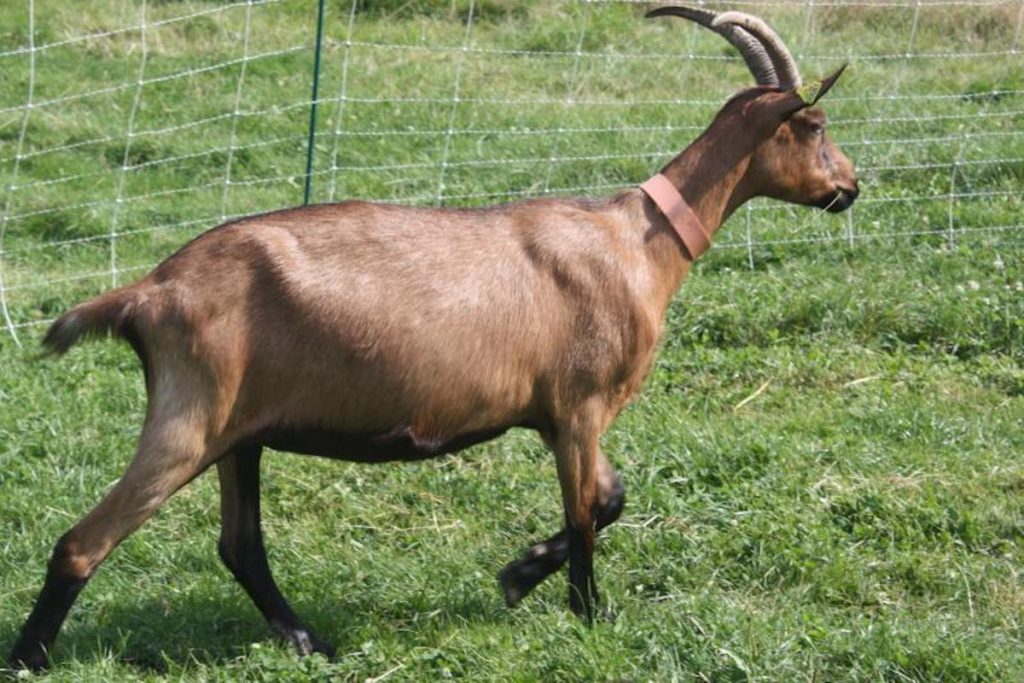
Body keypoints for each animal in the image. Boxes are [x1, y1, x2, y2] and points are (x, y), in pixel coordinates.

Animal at [9, 6, 858, 670]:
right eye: (814, 124)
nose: (849, 186)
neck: (637, 243)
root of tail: (149, 291)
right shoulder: (581, 404)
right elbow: (589, 510)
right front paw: (589, 613)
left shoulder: (557, 414)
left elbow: (612, 497)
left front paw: (518, 573)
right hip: (189, 421)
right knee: (84, 541)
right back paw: (29, 657)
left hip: (237, 435)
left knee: (239, 544)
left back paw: (308, 640)